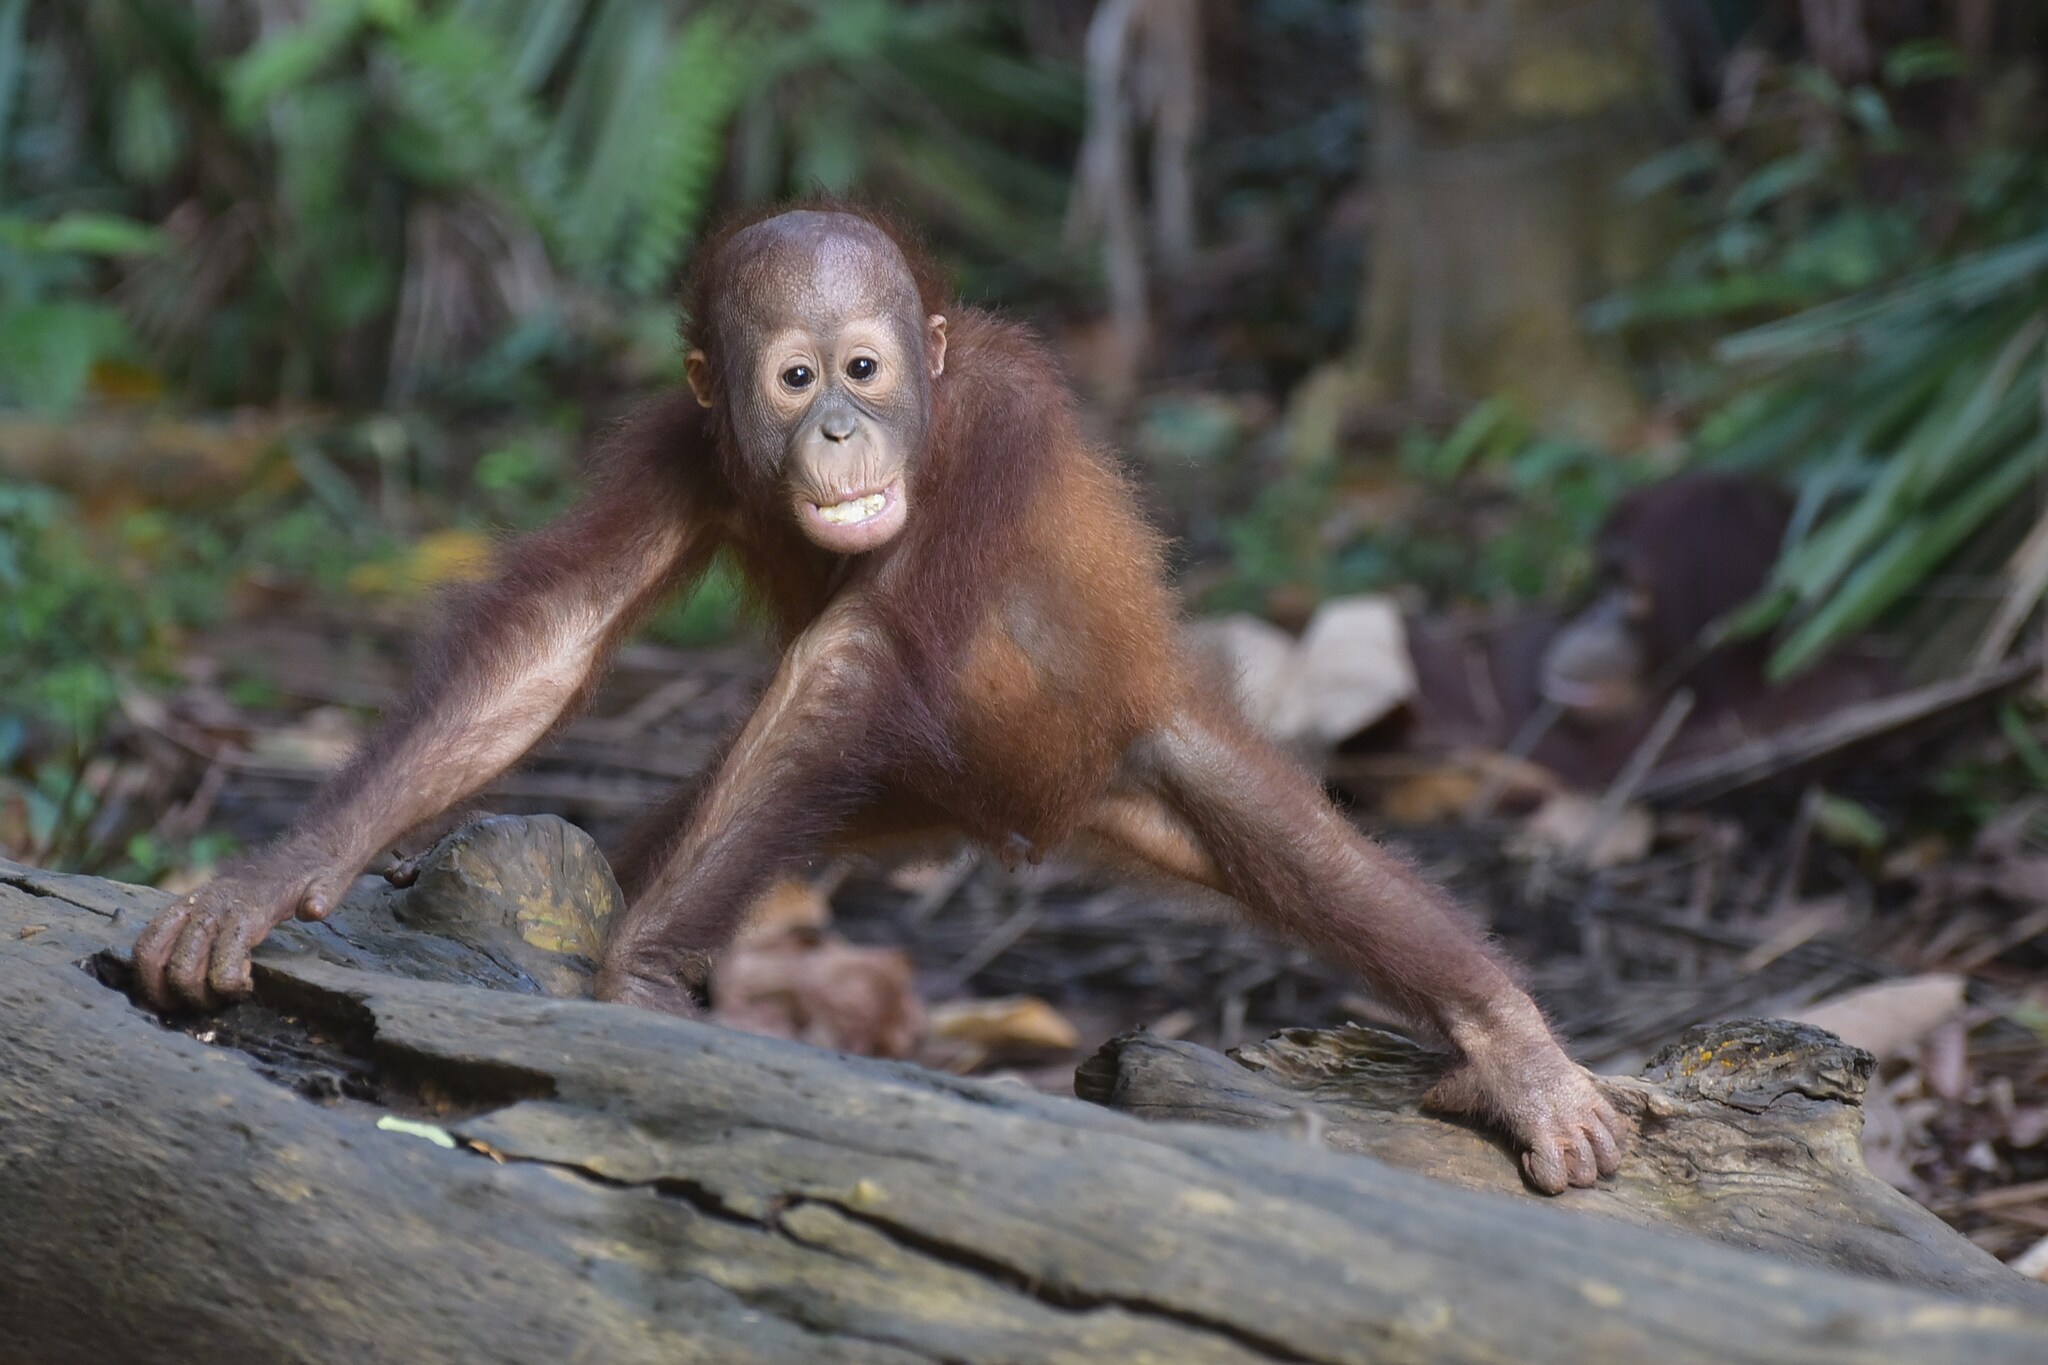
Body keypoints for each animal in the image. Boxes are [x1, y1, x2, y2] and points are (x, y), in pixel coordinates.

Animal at [136, 204, 1625, 1194]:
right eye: (793, 378)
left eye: (864, 368)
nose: (841, 430)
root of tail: (1030, 814)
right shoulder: (682, 439)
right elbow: (552, 642)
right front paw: (276, 870)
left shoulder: (1001, 429)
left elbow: (852, 658)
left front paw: (643, 972)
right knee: (687, 820)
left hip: (1136, 743)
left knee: (1322, 865)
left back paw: (1511, 1044)